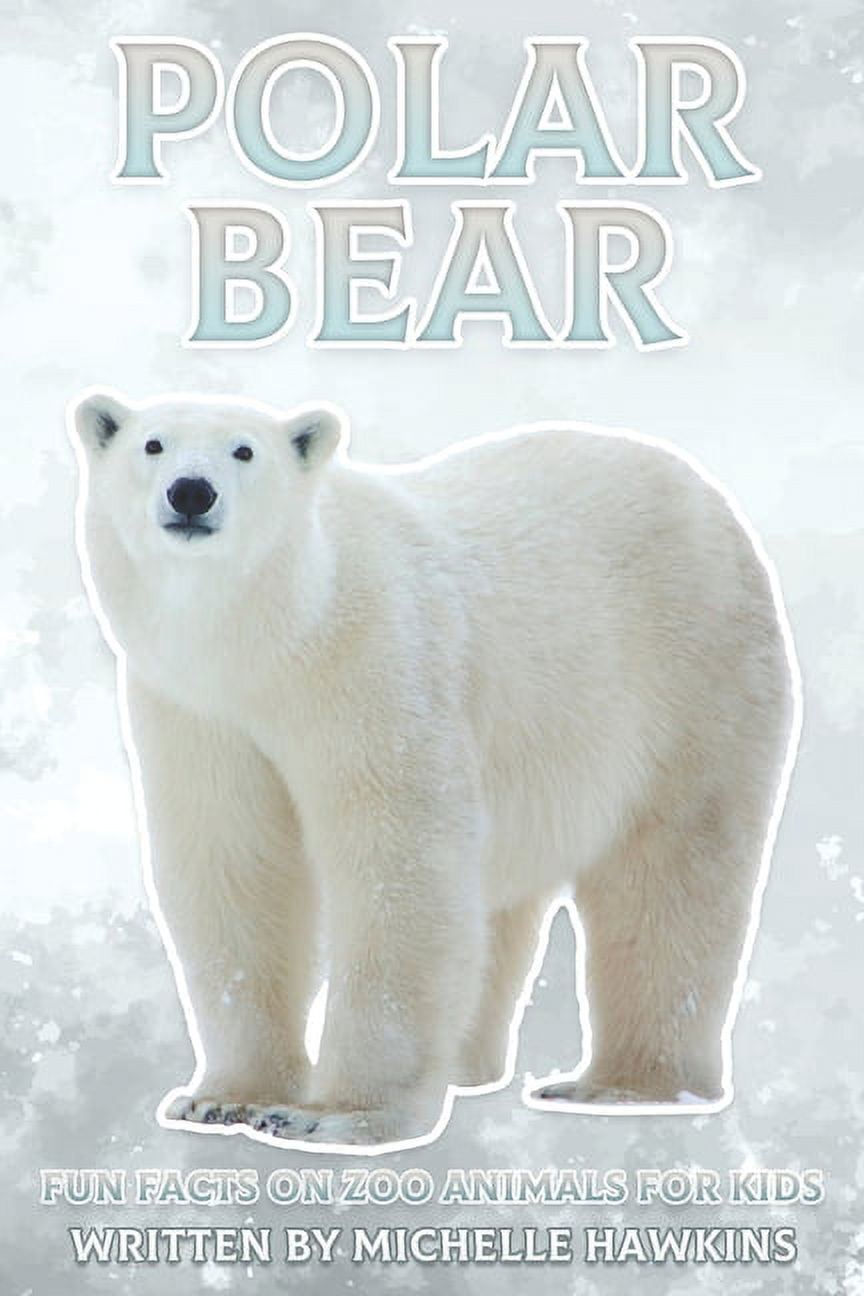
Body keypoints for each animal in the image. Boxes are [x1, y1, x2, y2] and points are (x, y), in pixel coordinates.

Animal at [70, 389, 798, 1150]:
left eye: (245, 450)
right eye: (152, 444)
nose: (191, 492)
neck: (279, 640)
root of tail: (708, 495)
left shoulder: (375, 664)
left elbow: (397, 863)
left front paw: (336, 1115)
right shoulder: (198, 711)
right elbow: (233, 864)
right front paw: (223, 1099)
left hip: (690, 675)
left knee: (671, 872)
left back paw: (621, 1084)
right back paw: (470, 1064)